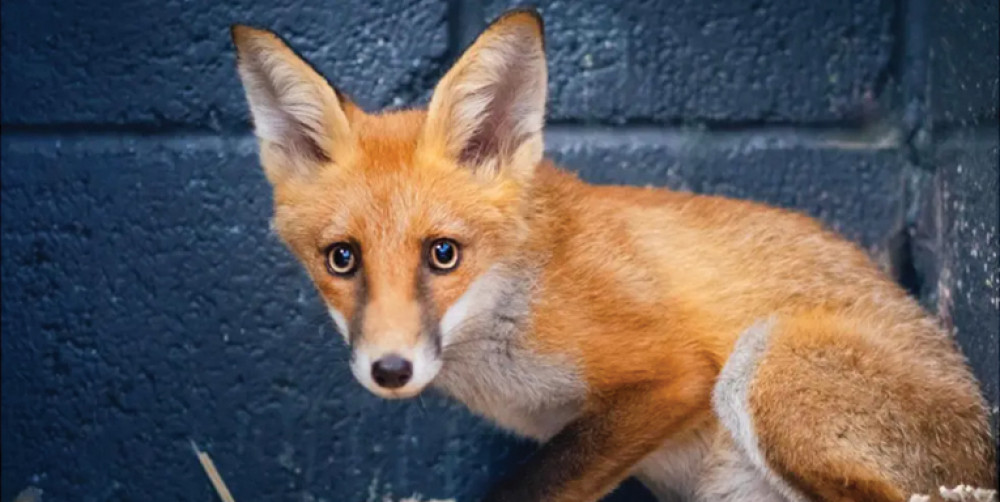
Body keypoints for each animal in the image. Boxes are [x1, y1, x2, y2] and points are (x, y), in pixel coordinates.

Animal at [230, 9, 996, 502]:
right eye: (342, 258)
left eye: (443, 254)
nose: (390, 370)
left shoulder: (672, 375)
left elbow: (527, 489)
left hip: (767, 365)